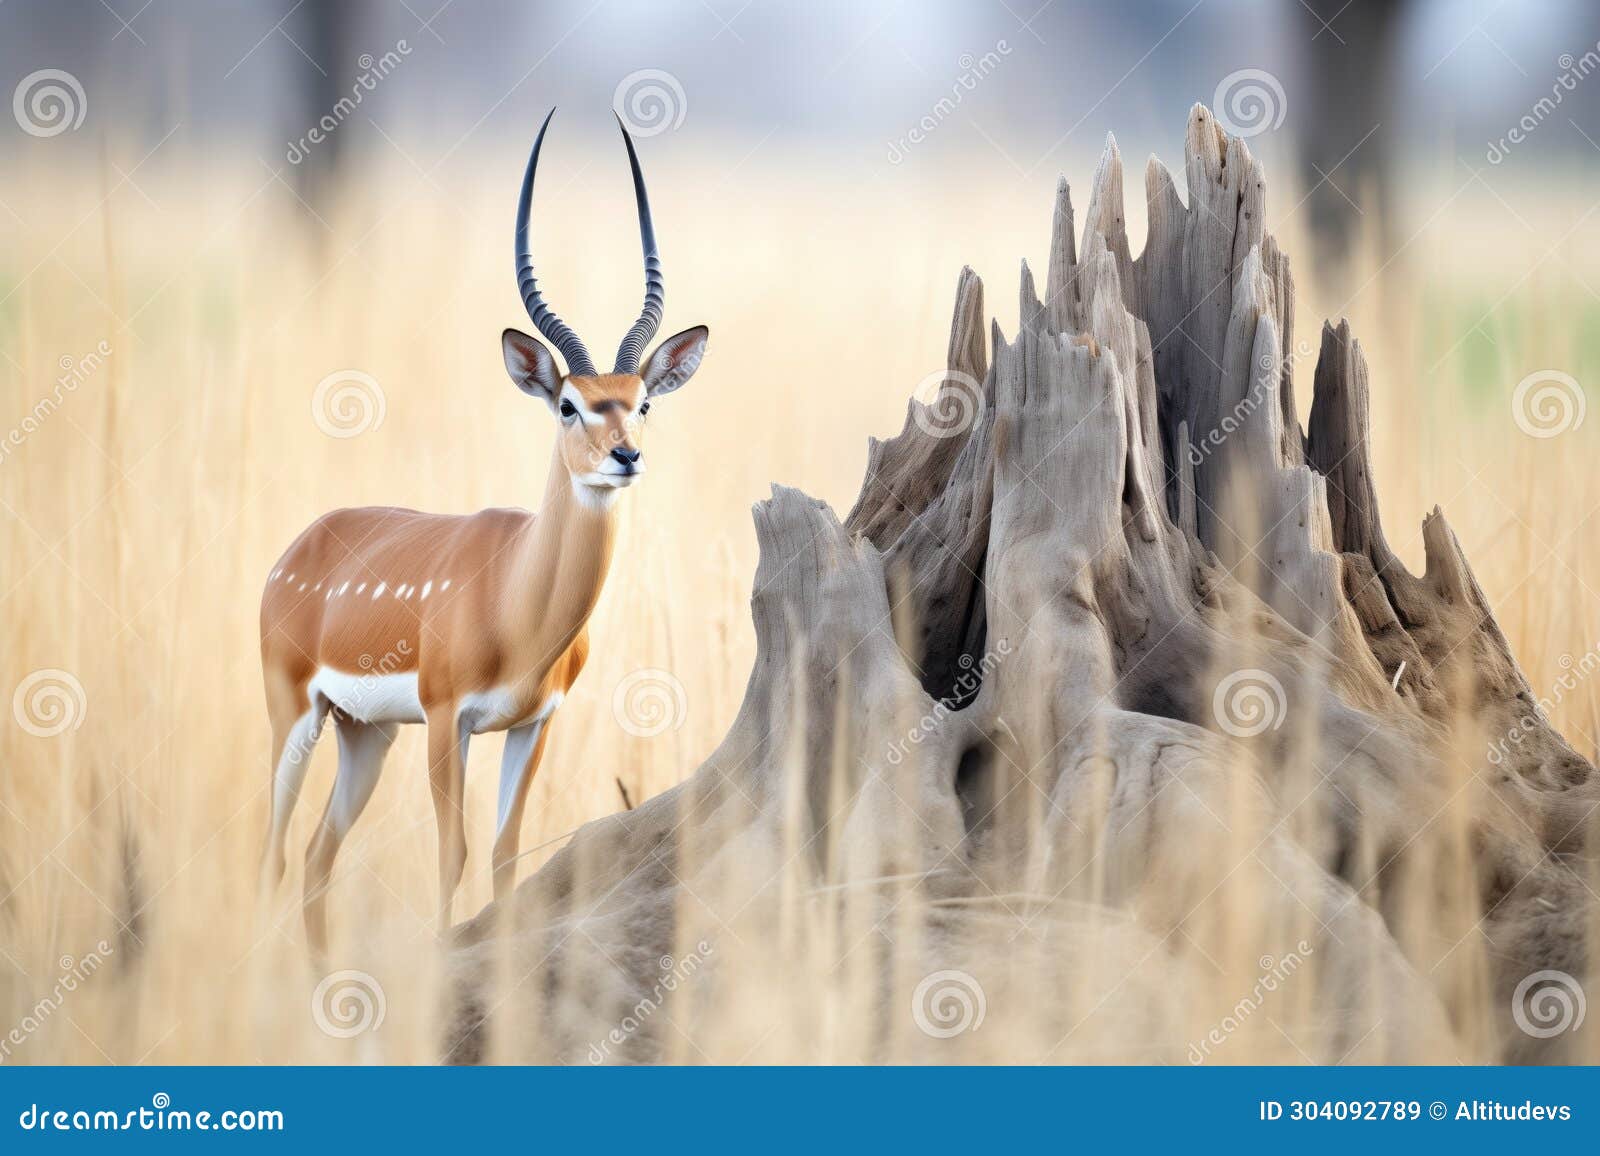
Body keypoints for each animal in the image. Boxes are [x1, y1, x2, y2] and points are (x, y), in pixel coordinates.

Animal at [258, 110, 708, 954]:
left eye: (643, 403)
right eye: (568, 404)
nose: (625, 455)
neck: (517, 600)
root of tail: (302, 544)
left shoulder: (533, 724)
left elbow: (505, 853)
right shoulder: (447, 719)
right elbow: (455, 851)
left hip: (365, 733)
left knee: (316, 856)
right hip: (295, 713)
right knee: (273, 851)